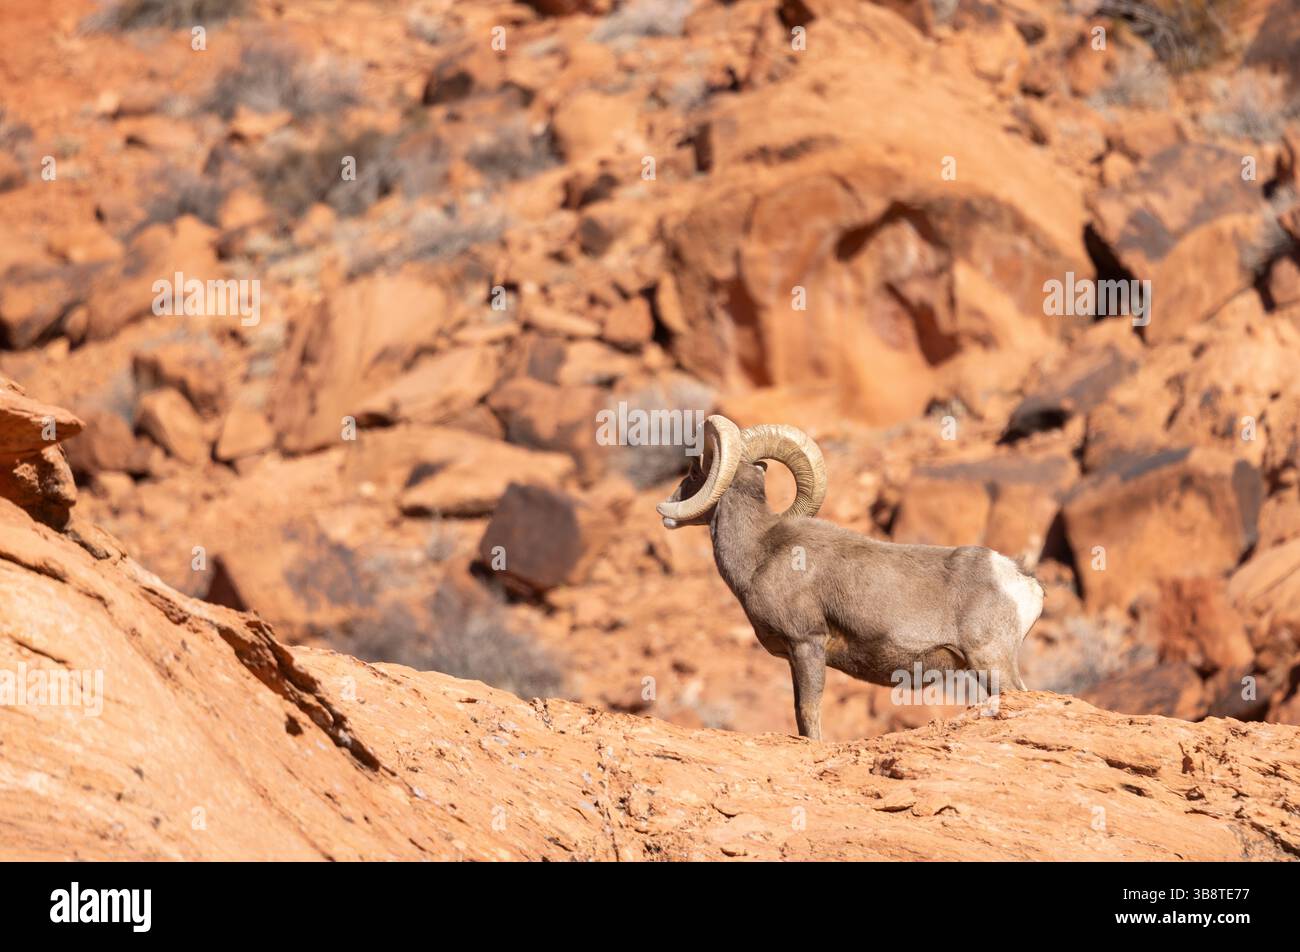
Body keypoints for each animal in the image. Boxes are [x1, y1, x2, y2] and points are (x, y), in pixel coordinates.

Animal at [657, 415, 1044, 740]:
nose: (666, 511)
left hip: (991, 663)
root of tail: (1022, 581)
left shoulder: (806, 643)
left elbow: (808, 712)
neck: (759, 553)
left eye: (694, 470)